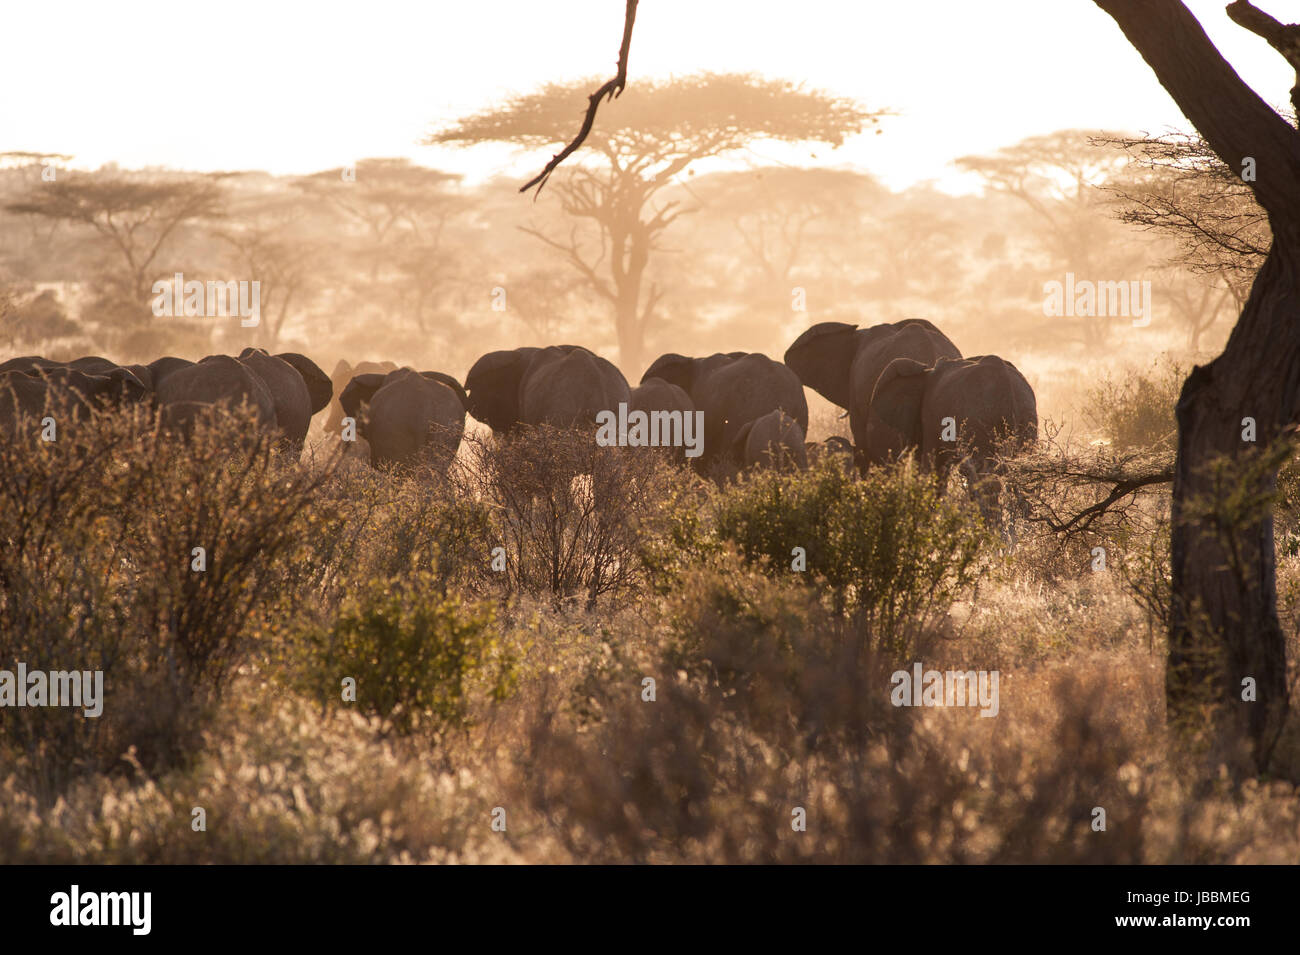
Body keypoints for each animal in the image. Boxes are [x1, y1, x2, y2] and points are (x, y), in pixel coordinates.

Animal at [864, 353, 1037, 508]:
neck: (925, 372)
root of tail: (1007, 390)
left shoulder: (930, 418)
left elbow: (934, 469)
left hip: (979, 422)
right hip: (1026, 418)